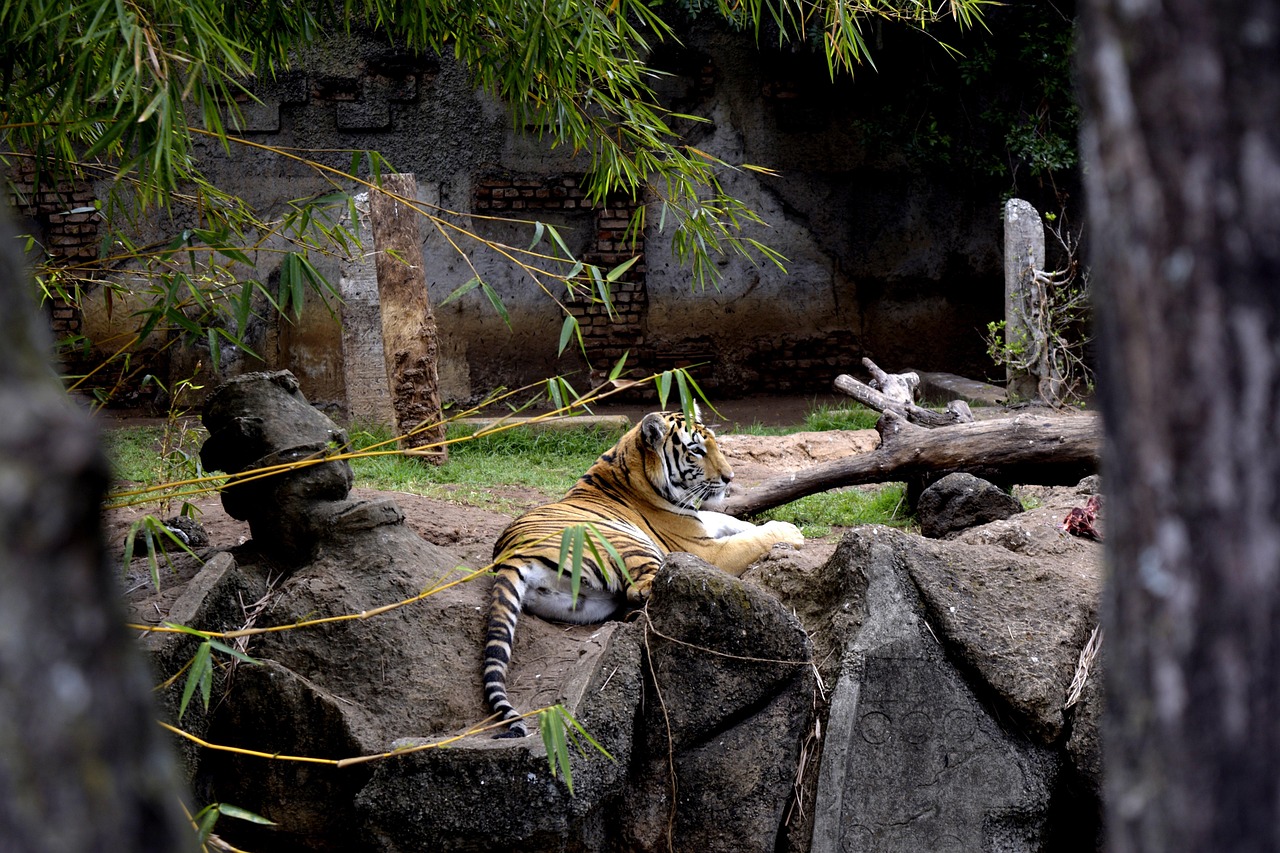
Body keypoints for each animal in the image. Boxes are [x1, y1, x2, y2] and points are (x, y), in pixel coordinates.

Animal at [483, 407, 805, 736]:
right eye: (696, 450)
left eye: (715, 443)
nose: (730, 478)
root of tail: (511, 555)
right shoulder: (703, 549)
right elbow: (748, 539)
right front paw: (789, 531)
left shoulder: (700, 522)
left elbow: (730, 521)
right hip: (628, 543)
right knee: (644, 590)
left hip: (582, 603)